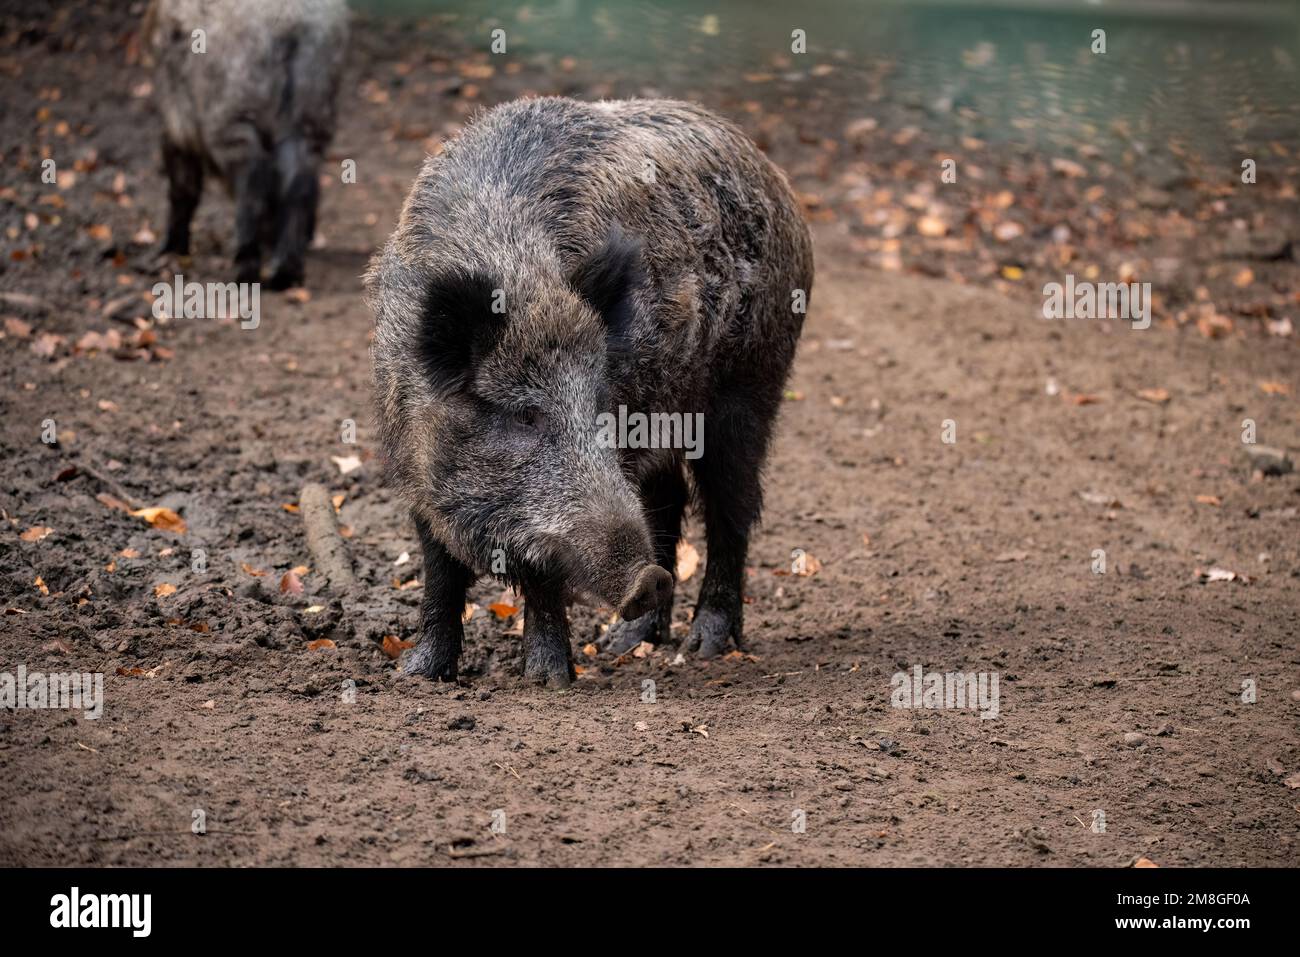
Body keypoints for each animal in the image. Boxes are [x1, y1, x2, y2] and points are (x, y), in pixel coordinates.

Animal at [143, 0, 348, 288]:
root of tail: (290, 24)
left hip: (233, 114)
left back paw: (245, 268)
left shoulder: (177, 120)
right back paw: (285, 272)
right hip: (312, 115)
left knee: (252, 183)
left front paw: (170, 249)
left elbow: (182, 188)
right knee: (299, 184)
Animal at [365, 97, 813, 687]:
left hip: (752, 386)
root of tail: (775, 177)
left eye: (599, 405)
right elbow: (439, 569)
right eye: (525, 415)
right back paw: (624, 643)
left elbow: (542, 575)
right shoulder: (412, 464)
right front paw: (416, 675)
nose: (644, 580)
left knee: (732, 508)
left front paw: (549, 680)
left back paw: (703, 646)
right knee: (668, 501)